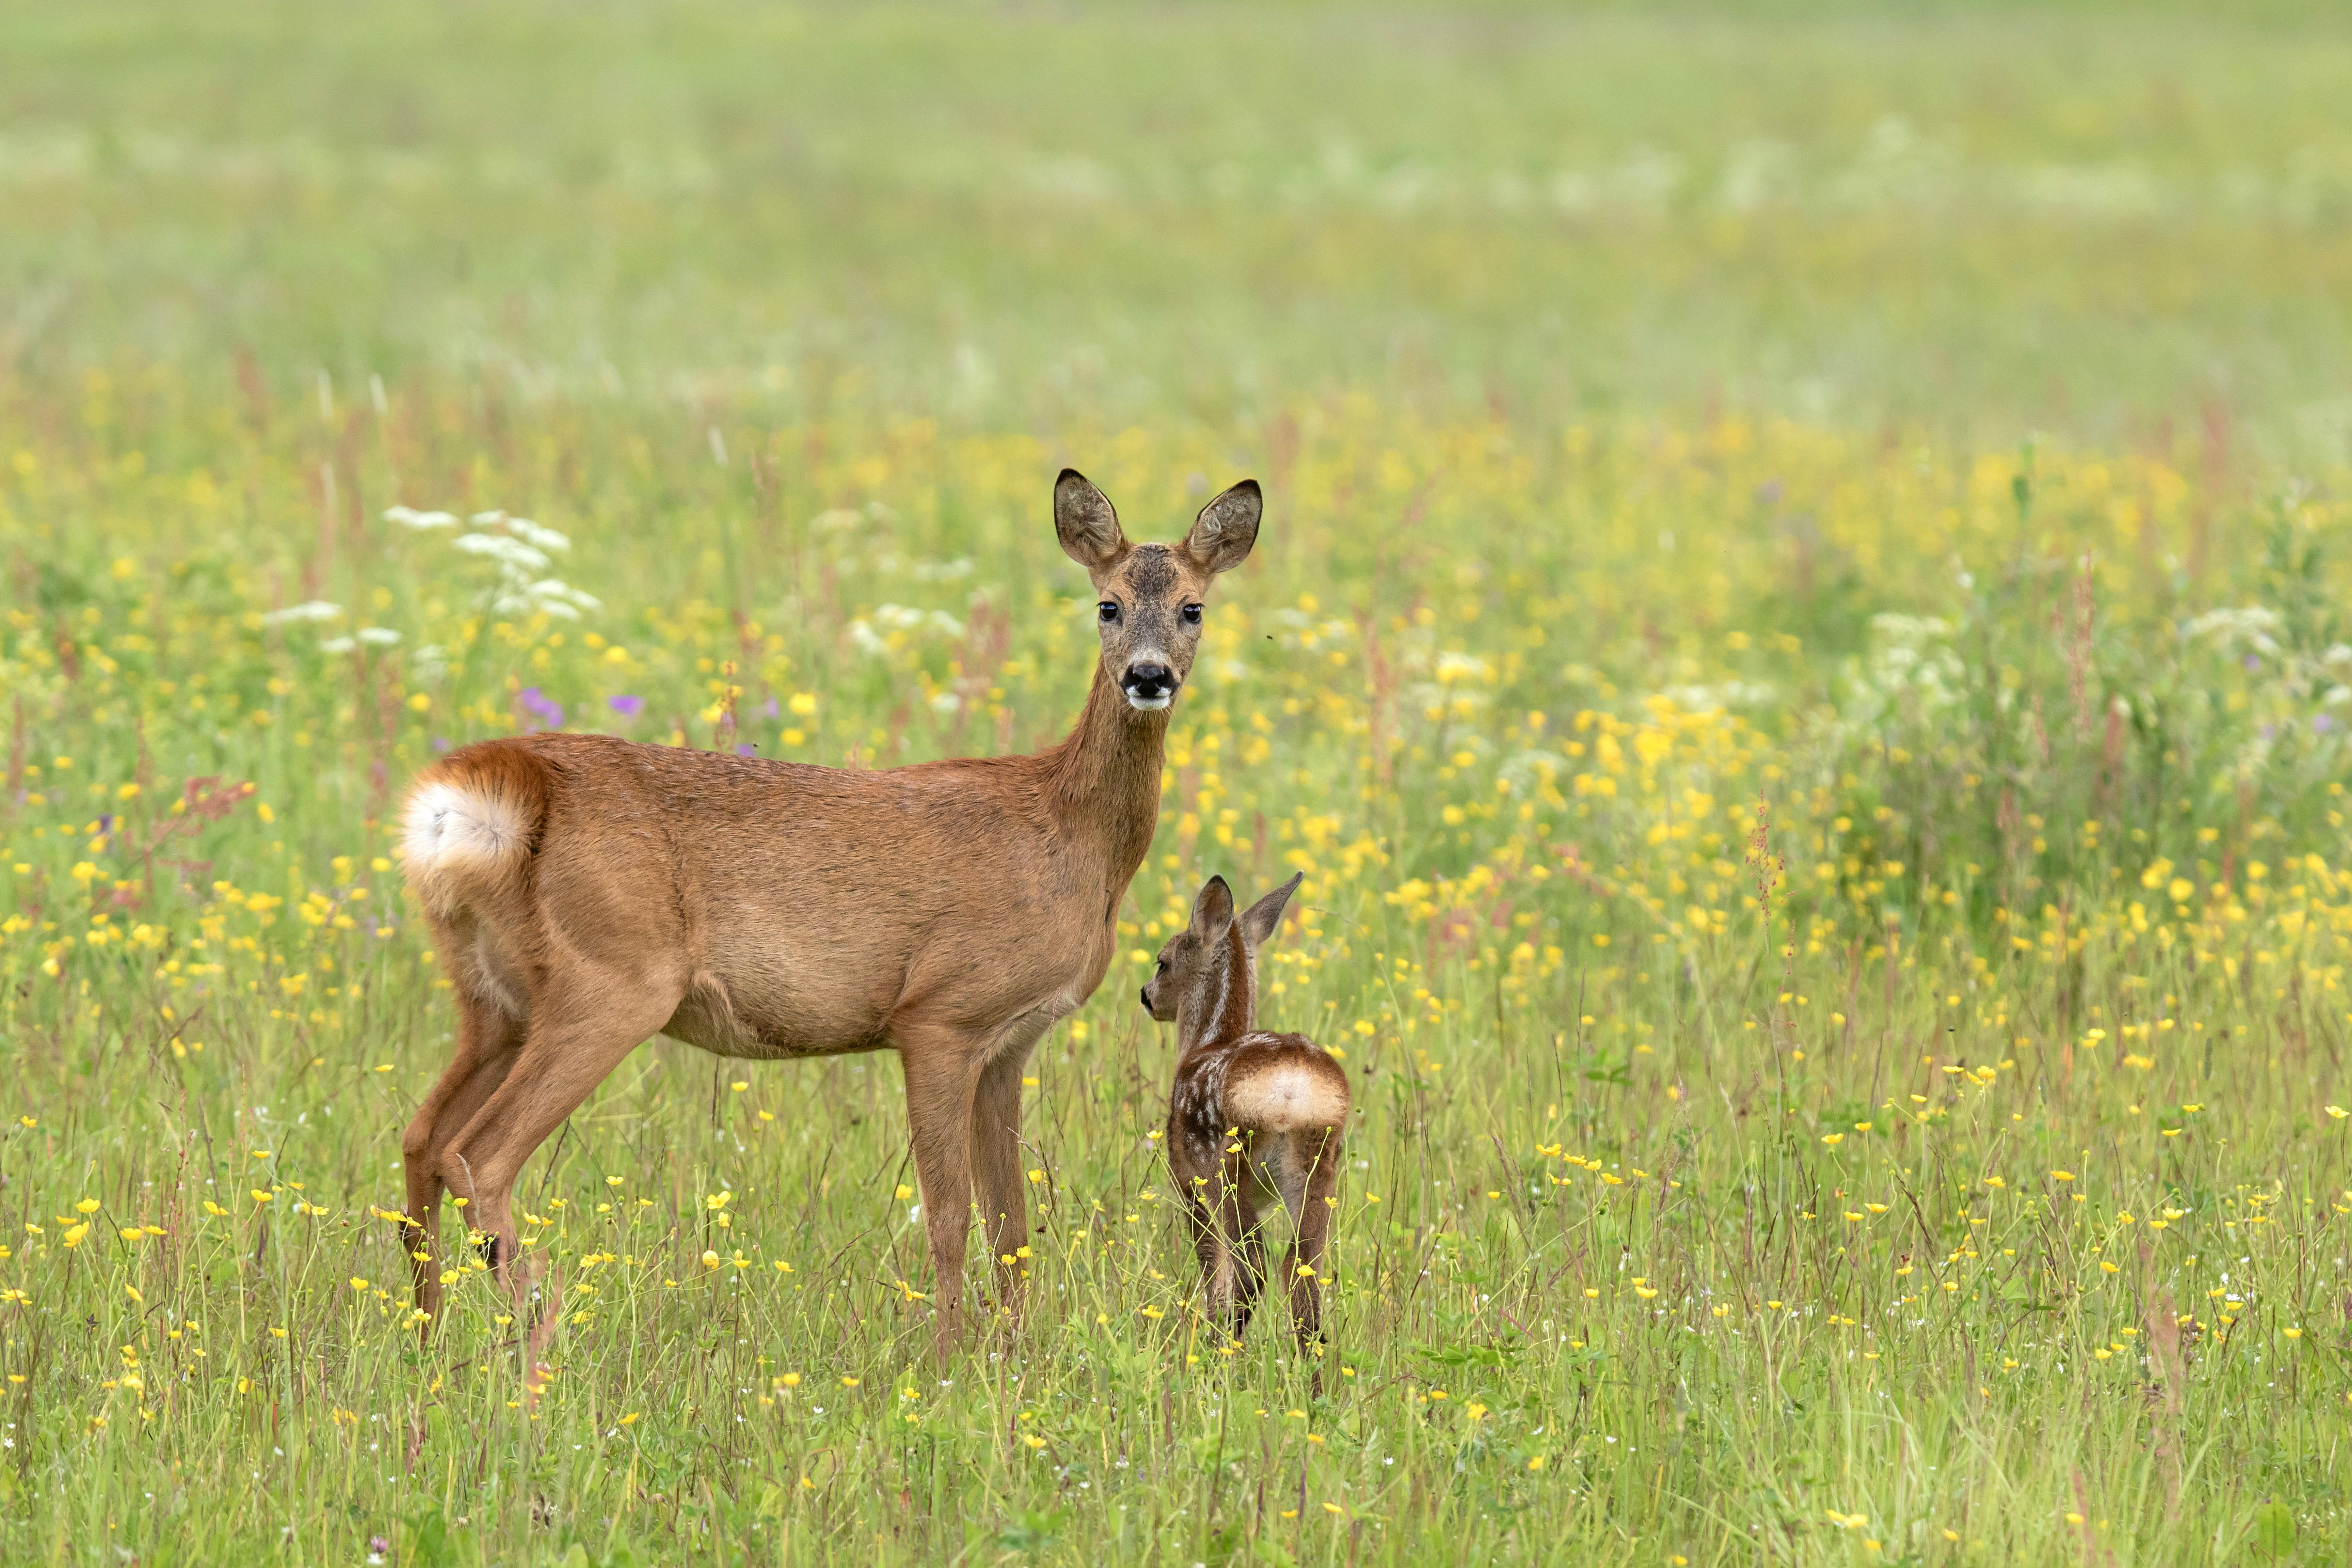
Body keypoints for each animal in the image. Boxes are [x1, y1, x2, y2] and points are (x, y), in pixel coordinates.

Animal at [395, 469, 1263, 1349]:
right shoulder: (939, 1012)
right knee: (479, 1155)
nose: (1149, 676)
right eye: (1107, 604)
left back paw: (429, 1343)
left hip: (496, 998)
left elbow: (1011, 1225)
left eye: (1193, 607)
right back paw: (535, 1344)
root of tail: (481, 796)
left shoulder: (1010, 1041)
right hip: (609, 980)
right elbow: (949, 1216)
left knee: (421, 1138)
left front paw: (1016, 1357)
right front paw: (949, 1359)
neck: (1066, 834)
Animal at [1140, 872, 1349, 1356]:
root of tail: (1292, 1087)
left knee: (1252, 1264)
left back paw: (1220, 1347)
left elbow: (1210, 1267)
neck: (1204, 1043)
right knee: (1302, 1268)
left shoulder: (1186, 1178)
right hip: (1319, 1165)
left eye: (1162, 961)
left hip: (1227, 1163)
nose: (1145, 996)